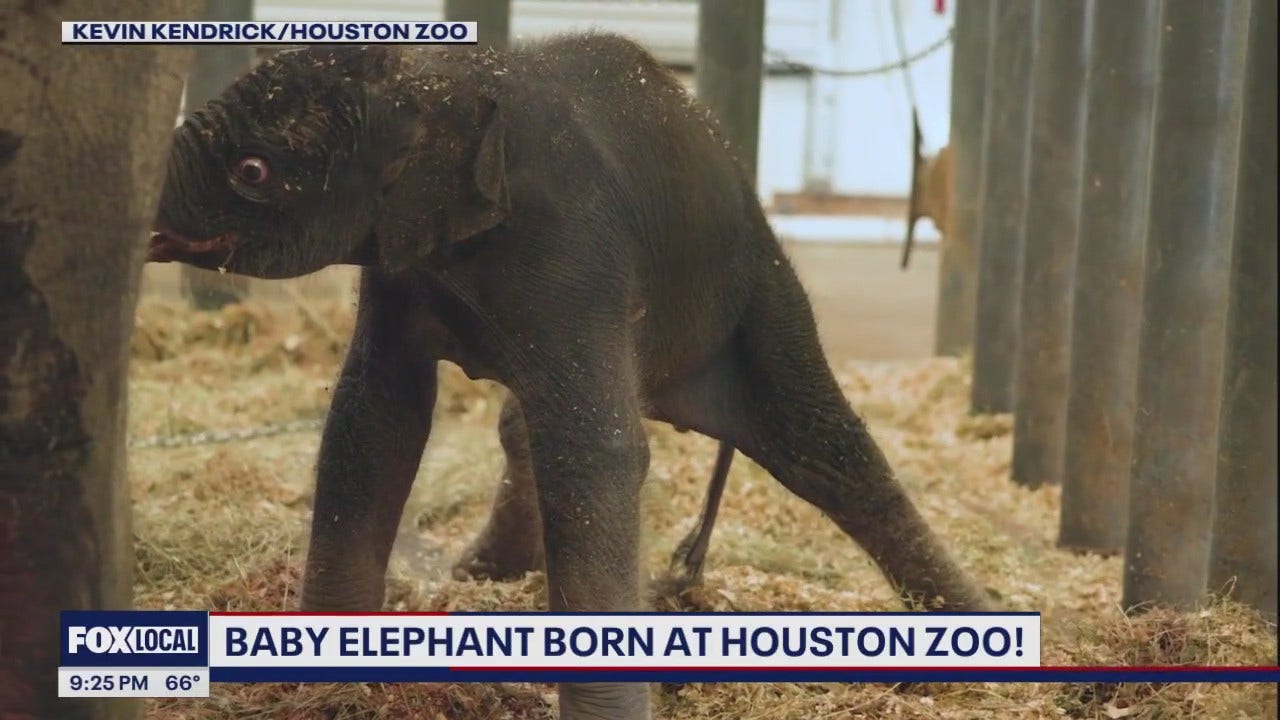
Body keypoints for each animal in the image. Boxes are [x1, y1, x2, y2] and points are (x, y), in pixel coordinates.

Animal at [148, 33, 991, 720]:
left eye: (252, 170)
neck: (439, 79)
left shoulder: (572, 245)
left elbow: (597, 451)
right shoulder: (402, 262)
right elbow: (375, 418)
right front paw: (327, 689)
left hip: (757, 285)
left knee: (827, 450)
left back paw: (977, 647)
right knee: (526, 423)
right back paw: (485, 571)